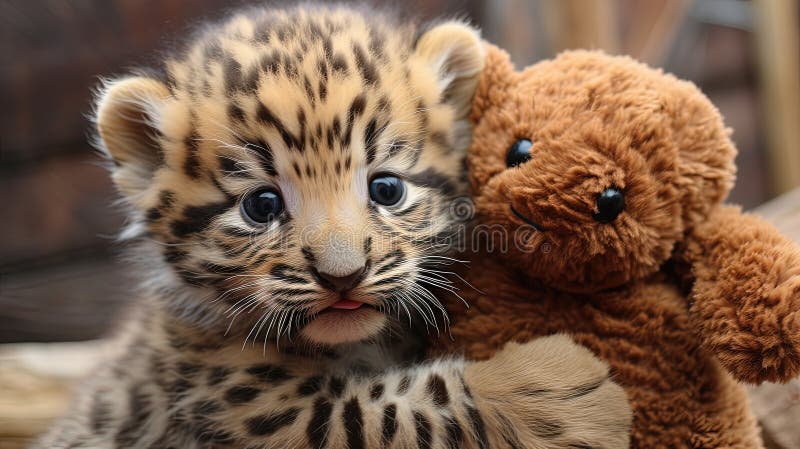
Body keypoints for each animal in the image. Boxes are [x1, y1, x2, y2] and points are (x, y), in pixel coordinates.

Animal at [33, 4, 632, 449]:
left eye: (387, 189)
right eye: (261, 206)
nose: (342, 275)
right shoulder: (247, 402)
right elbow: (375, 414)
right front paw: (552, 391)